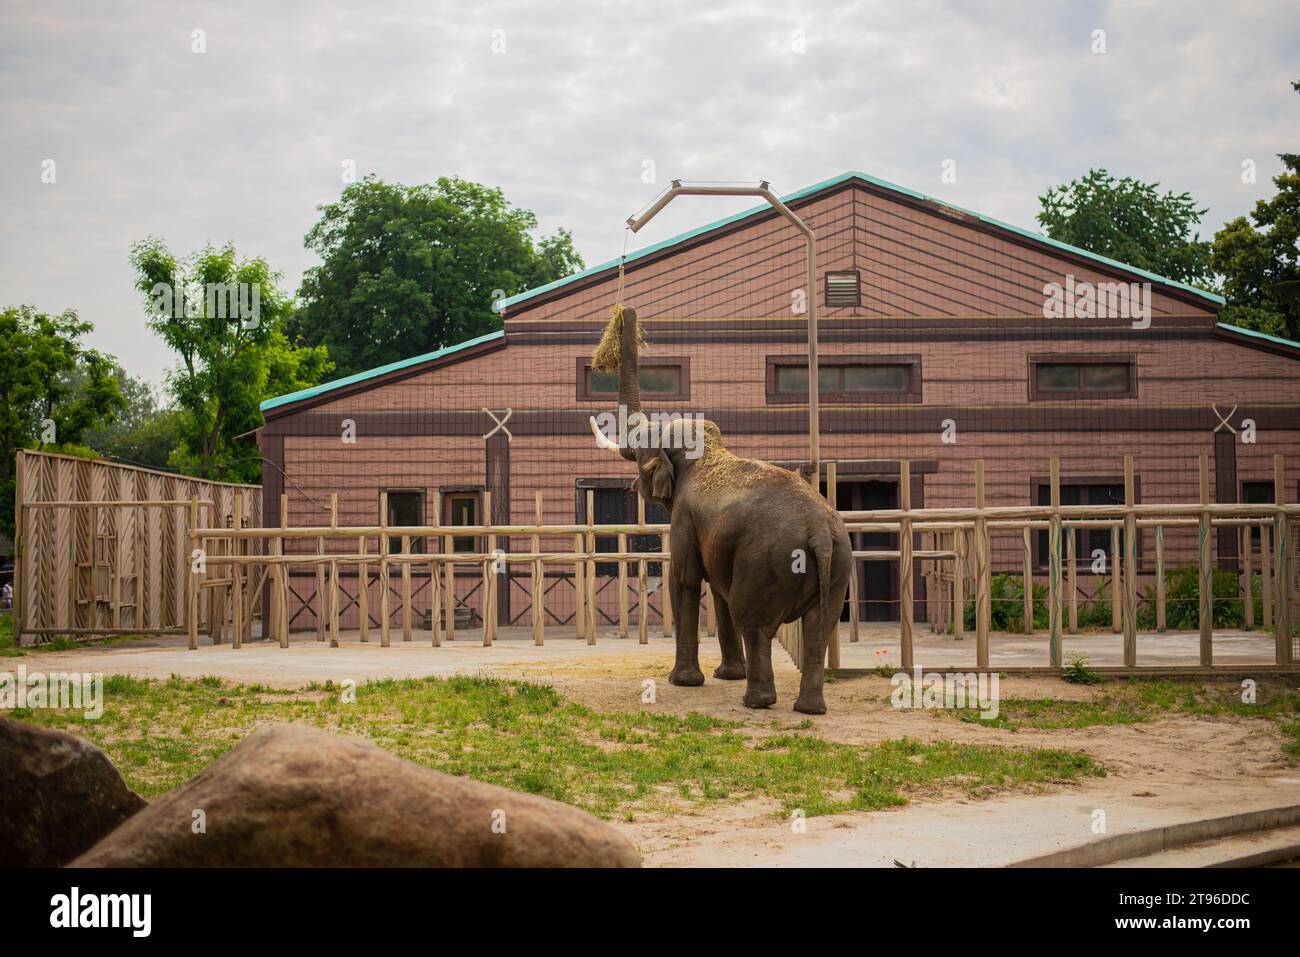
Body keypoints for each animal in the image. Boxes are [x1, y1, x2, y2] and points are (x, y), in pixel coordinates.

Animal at [588, 306, 852, 714]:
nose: (627, 312)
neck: (708, 450)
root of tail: (820, 533)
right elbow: (716, 589)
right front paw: (726, 676)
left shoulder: (684, 518)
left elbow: (684, 580)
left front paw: (683, 682)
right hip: (839, 565)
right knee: (819, 628)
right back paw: (808, 708)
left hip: (766, 566)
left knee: (755, 622)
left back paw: (756, 702)